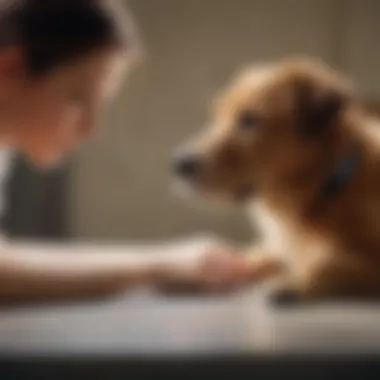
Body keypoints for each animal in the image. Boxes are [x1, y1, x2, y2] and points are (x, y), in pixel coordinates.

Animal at [174, 56, 380, 304]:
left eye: (249, 120)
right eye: (216, 115)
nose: (178, 165)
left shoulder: (368, 261)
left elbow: (327, 265)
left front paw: (294, 281)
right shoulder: (271, 247)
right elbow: (252, 257)